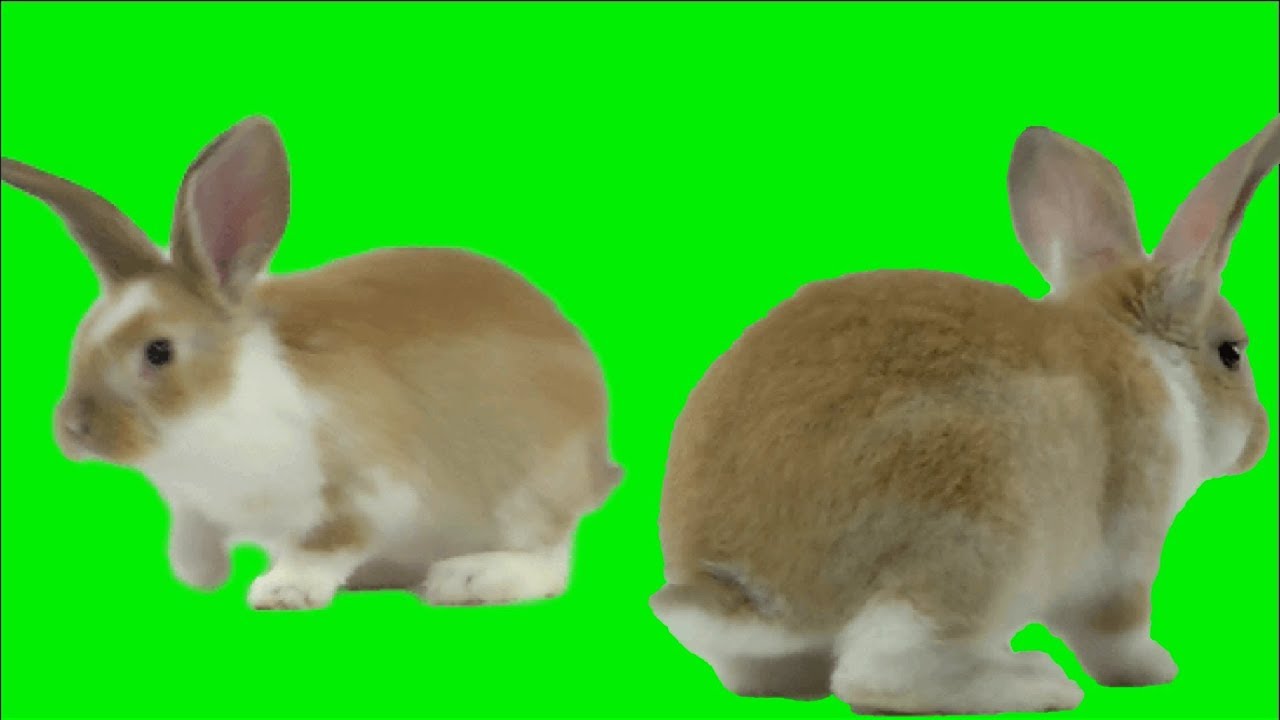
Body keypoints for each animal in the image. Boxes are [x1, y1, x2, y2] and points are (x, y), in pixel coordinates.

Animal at [1, 116, 620, 611]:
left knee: (549, 561)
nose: (75, 430)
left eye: (159, 351)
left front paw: (282, 590)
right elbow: (194, 541)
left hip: (528, 494)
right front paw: (202, 578)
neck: (220, 403)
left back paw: (468, 579)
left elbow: (325, 544)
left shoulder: (365, 490)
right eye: (82, 338)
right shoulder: (193, 510)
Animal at [651, 117, 1277, 715]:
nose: (1258, 440)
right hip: (977, 531)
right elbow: (1117, 635)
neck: (1142, 351)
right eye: (1232, 352)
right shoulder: (1123, 560)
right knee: (879, 674)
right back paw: (1039, 683)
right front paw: (1156, 670)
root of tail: (746, 589)